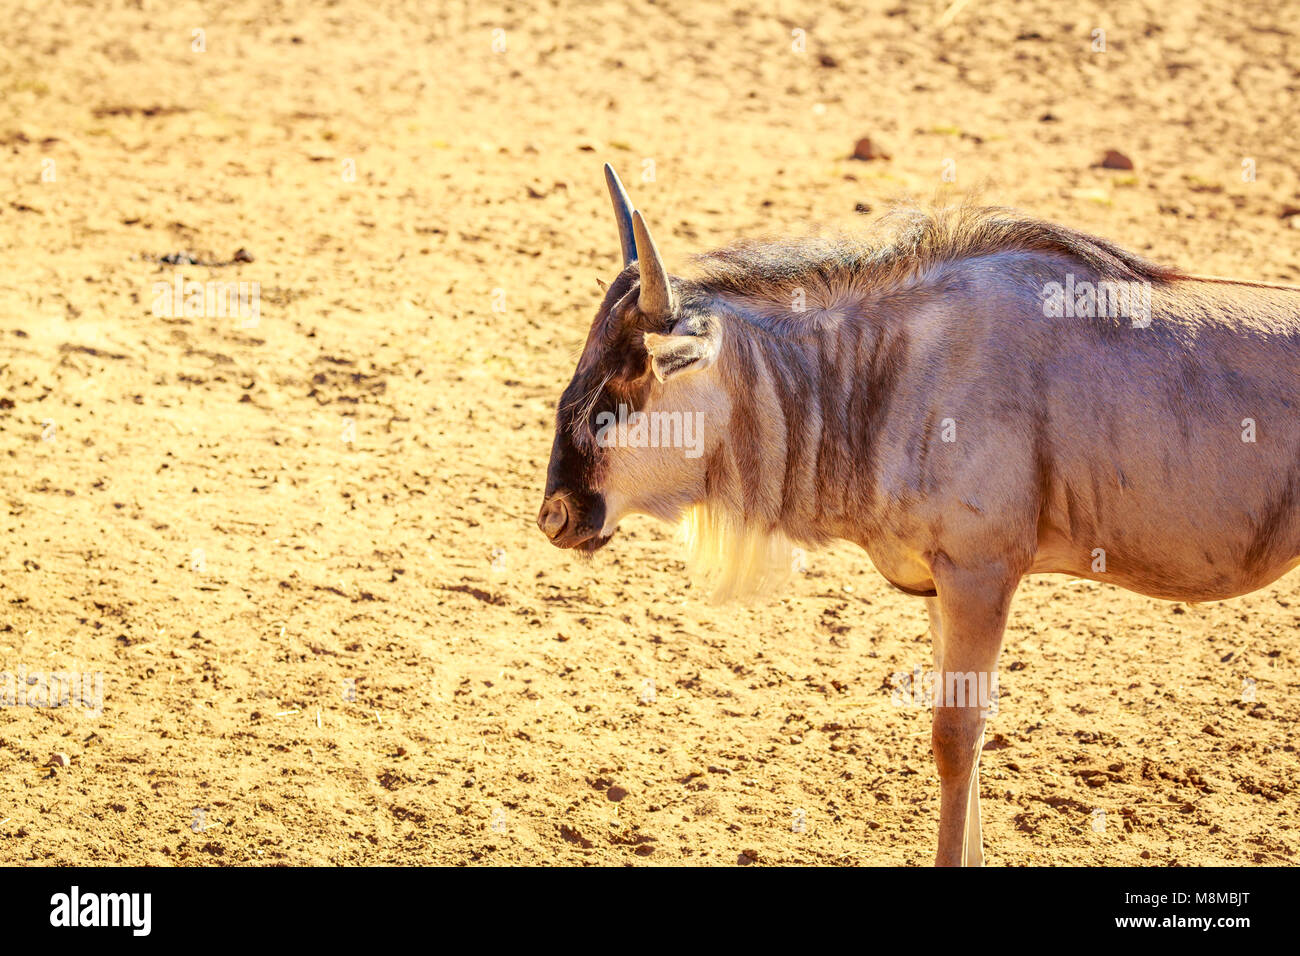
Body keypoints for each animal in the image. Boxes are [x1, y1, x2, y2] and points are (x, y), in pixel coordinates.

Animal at [537, 164, 1300, 865]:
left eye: (631, 373)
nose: (555, 517)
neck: (891, 367)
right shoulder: (940, 588)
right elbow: (972, 740)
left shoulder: (981, 577)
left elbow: (955, 739)